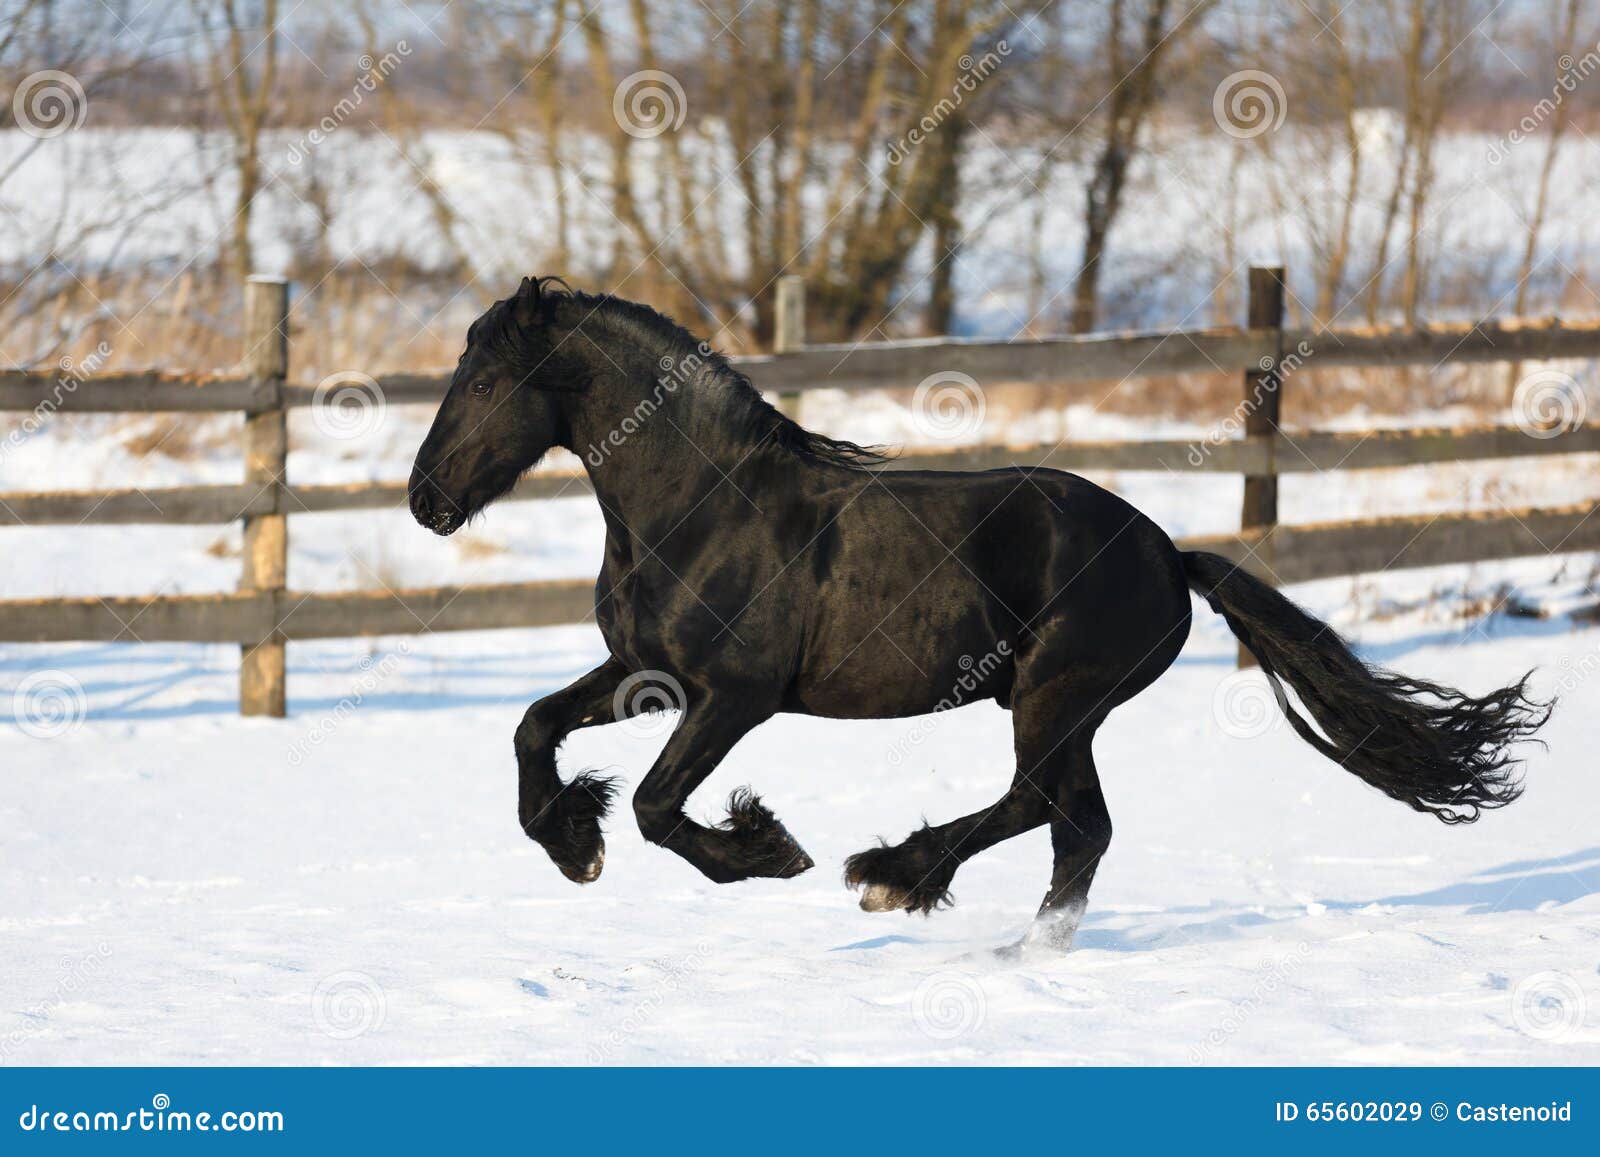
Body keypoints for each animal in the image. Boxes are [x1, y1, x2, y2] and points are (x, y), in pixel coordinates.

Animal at [408, 276, 1551, 951]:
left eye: (487, 379)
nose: (424, 499)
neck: (701, 507)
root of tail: (1167, 554)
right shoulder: (648, 674)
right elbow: (534, 727)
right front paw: (572, 842)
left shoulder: (733, 694)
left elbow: (654, 805)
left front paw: (767, 848)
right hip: (1063, 707)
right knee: (1075, 825)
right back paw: (1008, 941)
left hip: (1053, 694)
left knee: (1044, 807)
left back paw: (891, 878)